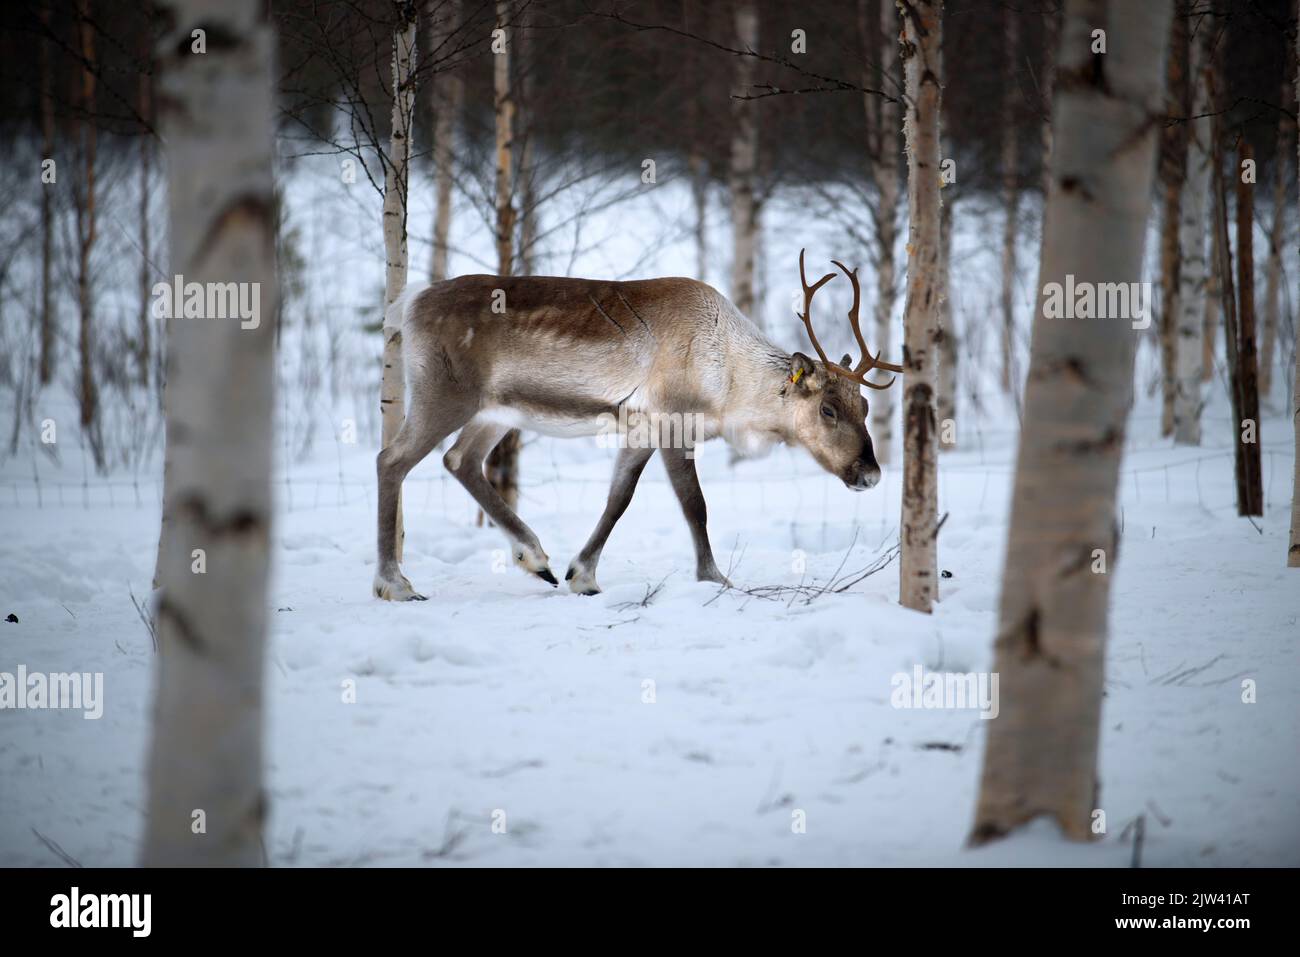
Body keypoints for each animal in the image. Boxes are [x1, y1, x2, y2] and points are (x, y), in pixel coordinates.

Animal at [374, 250, 902, 601]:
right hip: (445, 394)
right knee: (391, 459)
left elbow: (618, 499)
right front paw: (715, 579)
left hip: (495, 411)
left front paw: (581, 575)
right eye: (828, 410)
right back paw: (395, 583)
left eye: (865, 406)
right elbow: (695, 506)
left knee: (459, 460)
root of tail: (408, 302)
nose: (871, 473)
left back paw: (536, 559)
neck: (729, 378)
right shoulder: (674, 423)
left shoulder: (640, 430)